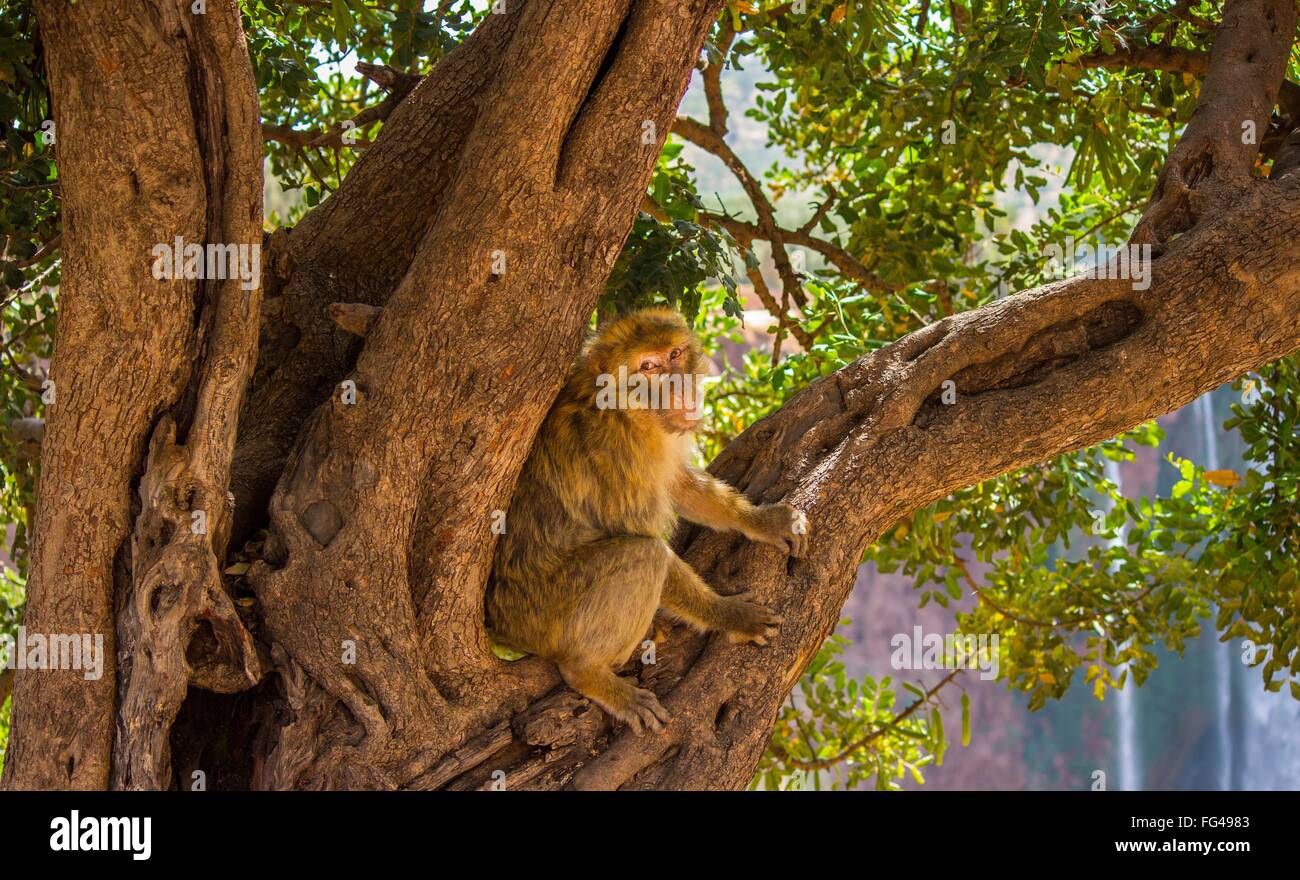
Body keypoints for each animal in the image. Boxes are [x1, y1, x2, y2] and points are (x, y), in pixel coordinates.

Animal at [487, 307, 808, 734]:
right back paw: (587, 672)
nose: (679, 385)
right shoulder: (619, 452)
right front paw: (728, 616)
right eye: (649, 367)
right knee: (644, 556)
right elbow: (646, 537)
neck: (629, 411)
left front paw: (763, 522)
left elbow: (679, 484)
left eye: (675, 354)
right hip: (542, 614)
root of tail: (498, 620)